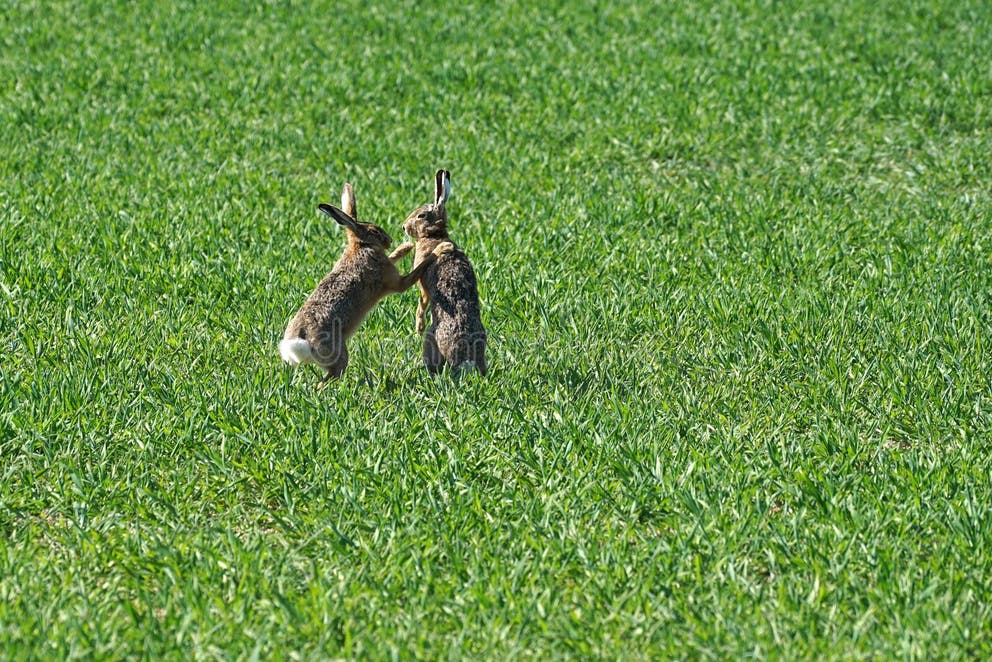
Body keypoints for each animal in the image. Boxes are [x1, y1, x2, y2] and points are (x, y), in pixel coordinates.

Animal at [280, 182, 453, 383]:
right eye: (375, 231)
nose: (390, 240)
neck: (361, 245)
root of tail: (299, 343)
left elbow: (393, 257)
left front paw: (405, 247)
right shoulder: (396, 281)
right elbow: (419, 268)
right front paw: (441, 248)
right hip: (338, 356)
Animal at [402, 169, 487, 375]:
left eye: (421, 215)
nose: (404, 227)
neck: (434, 235)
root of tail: (466, 359)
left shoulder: (423, 286)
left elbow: (422, 302)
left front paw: (418, 327)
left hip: (431, 339)